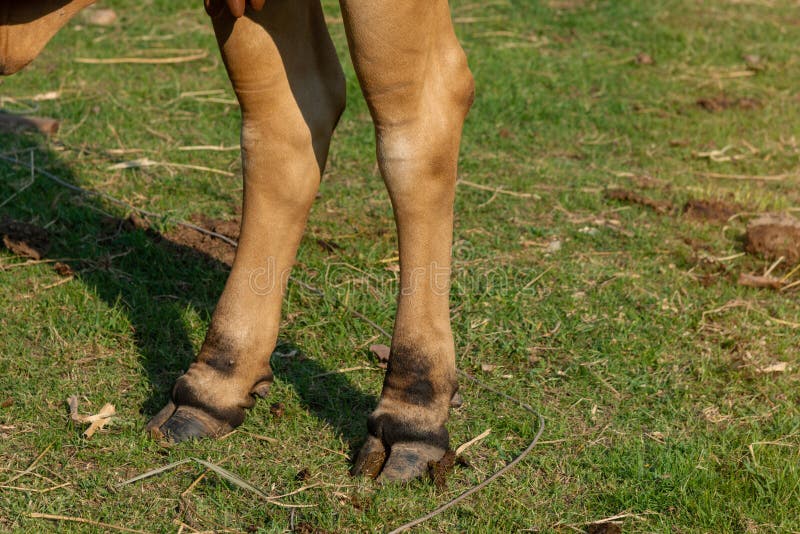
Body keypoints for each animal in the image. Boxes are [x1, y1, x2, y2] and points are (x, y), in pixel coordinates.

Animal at [0, 0, 474, 482]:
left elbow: (414, 128)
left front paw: (414, 415)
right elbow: (283, 123)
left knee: (411, 121)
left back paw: (413, 408)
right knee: (290, 122)